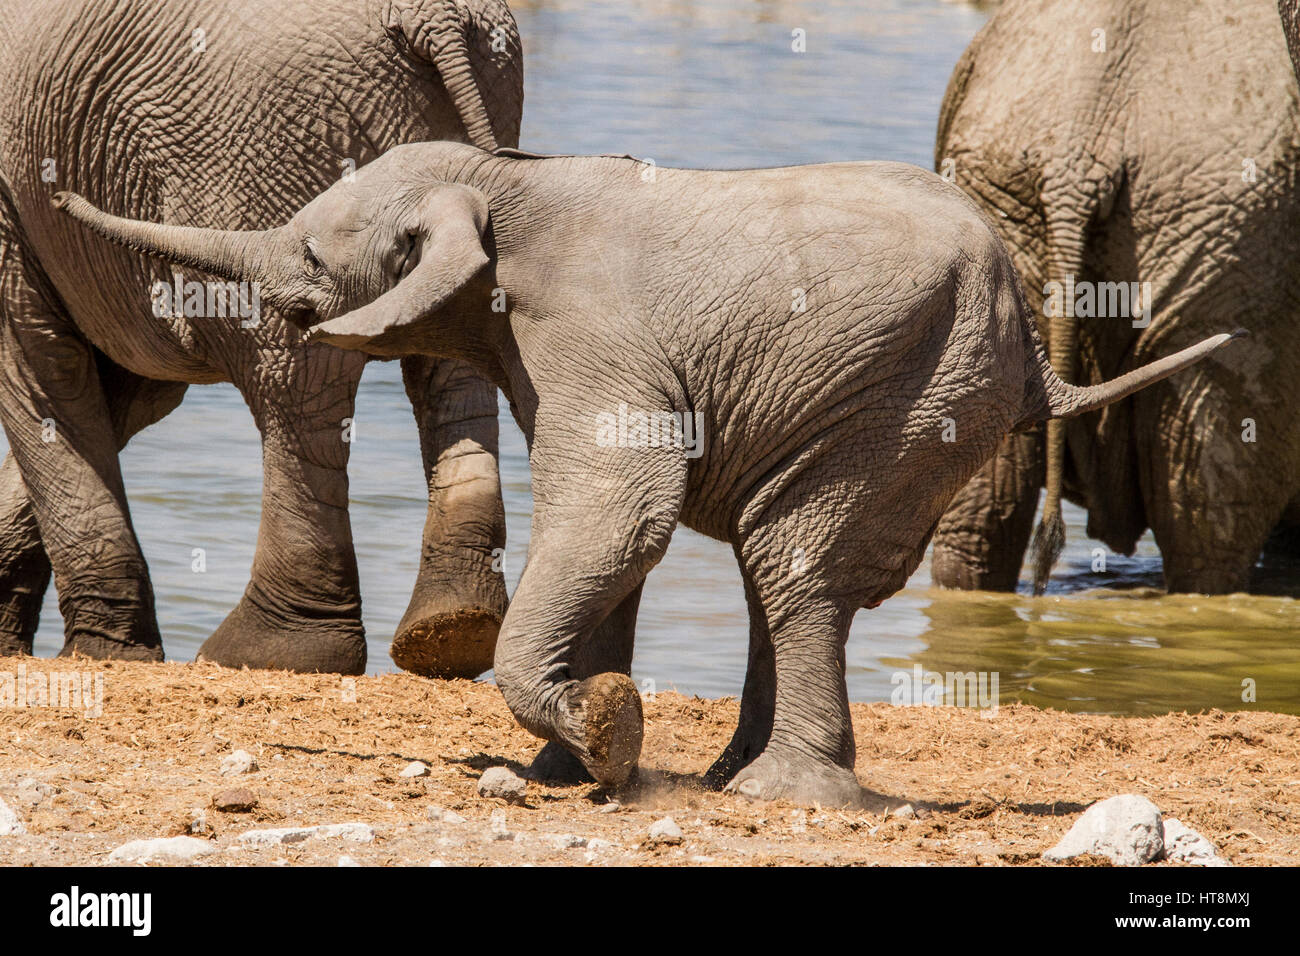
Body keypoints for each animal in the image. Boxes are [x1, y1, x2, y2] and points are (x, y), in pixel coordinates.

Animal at [0, 0, 523, 675]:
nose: (63, 194)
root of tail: (435, 16)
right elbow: (122, 390)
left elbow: (48, 366)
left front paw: (102, 654)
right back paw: (456, 631)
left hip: (270, 138)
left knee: (289, 379)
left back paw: (267, 652)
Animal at [52, 142, 1237, 805]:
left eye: (310, 256)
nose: (58, 200)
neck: (496, 182)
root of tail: (1036, 351)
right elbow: (614, 535)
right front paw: (564, 771)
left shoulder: (580, 326)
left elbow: (624, 505)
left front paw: (606, 739)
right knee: (778, 563)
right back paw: (729, 777)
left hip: (916, 385)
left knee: (792, 560)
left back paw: (785, 794)